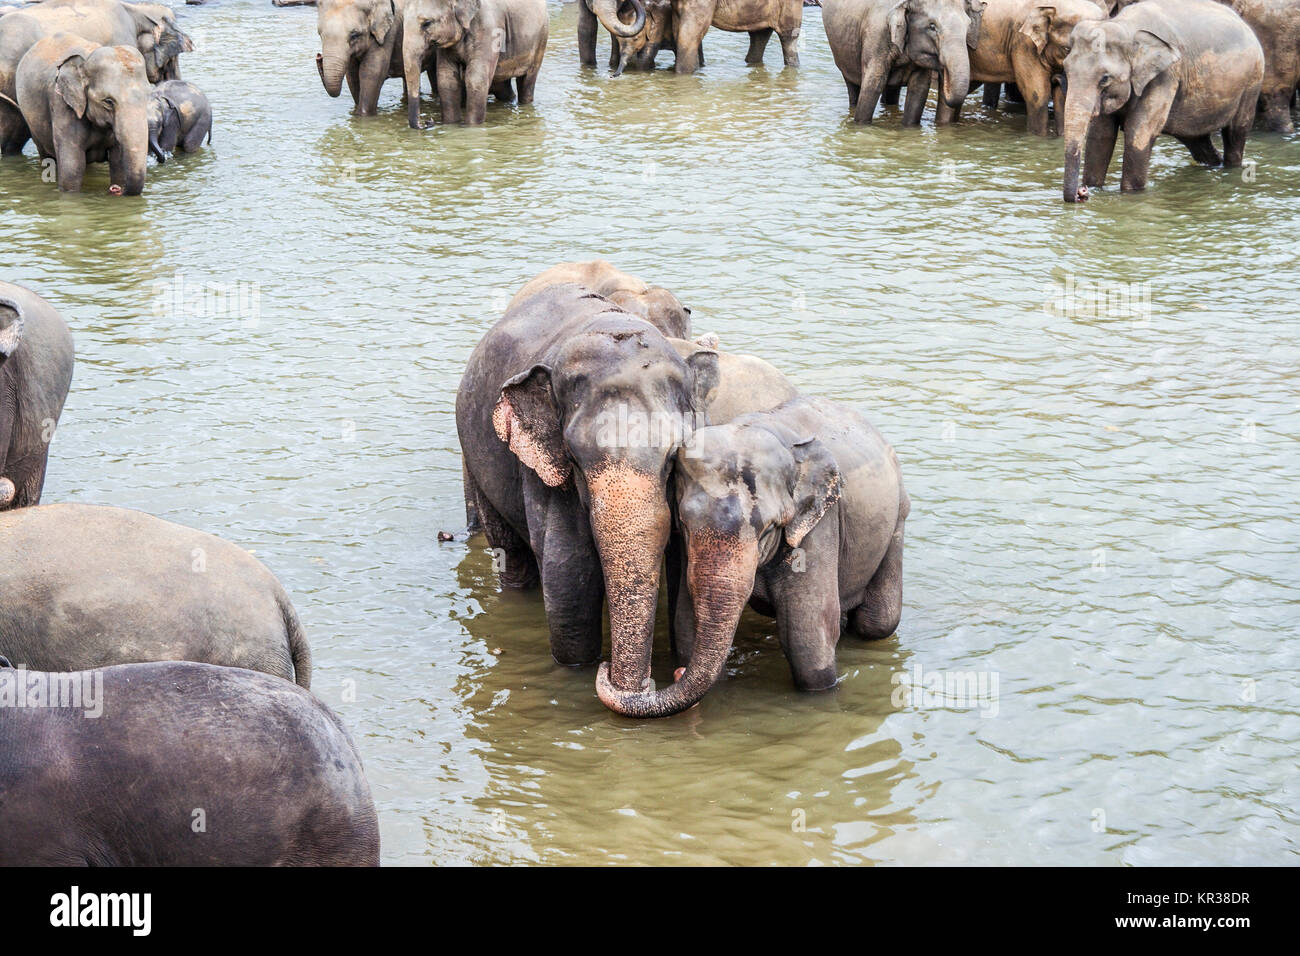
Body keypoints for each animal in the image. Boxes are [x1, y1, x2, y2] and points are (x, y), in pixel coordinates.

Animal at [10, 33, 151, 193]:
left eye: (148, 96)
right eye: (108, 101)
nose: (116, 189)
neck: (86, 61)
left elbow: (118, 164)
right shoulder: (62, 105)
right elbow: (71, 170)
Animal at [415, 0, 547, 126]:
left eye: (427, 23)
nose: (427, 122)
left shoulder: (488, 28)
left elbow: (476, 80)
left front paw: (471, 127)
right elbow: (446, 79)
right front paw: (451, 125)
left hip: (540, 42)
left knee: (527, 82)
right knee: (502, 86)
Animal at [597, 395, 908, 718]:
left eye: (769, 529)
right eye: (683, 523)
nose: (603, 665)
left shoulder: (819, 525)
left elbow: (807, 632)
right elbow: (685, 622)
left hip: (898, 514)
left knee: (878, 622)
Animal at [822, 0, 983, 125]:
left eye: (968, 25)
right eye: (932, 26)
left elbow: (919, 89)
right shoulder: (877, 35)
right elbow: (873, 83)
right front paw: (860, 126)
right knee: (853, 86)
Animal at [1062, 0, 1264, 202]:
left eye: (1105, 78)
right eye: (1066, 70)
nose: (1081, 193)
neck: (1125, 26)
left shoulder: (1166, 75)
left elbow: (1139, 133)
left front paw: (1131, 194)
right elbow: (1101, 135)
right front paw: (1095, 188)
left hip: (1252, 82)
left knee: (1235, 134)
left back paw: (1230, 167)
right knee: (1196, 140)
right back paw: (1213, 165)